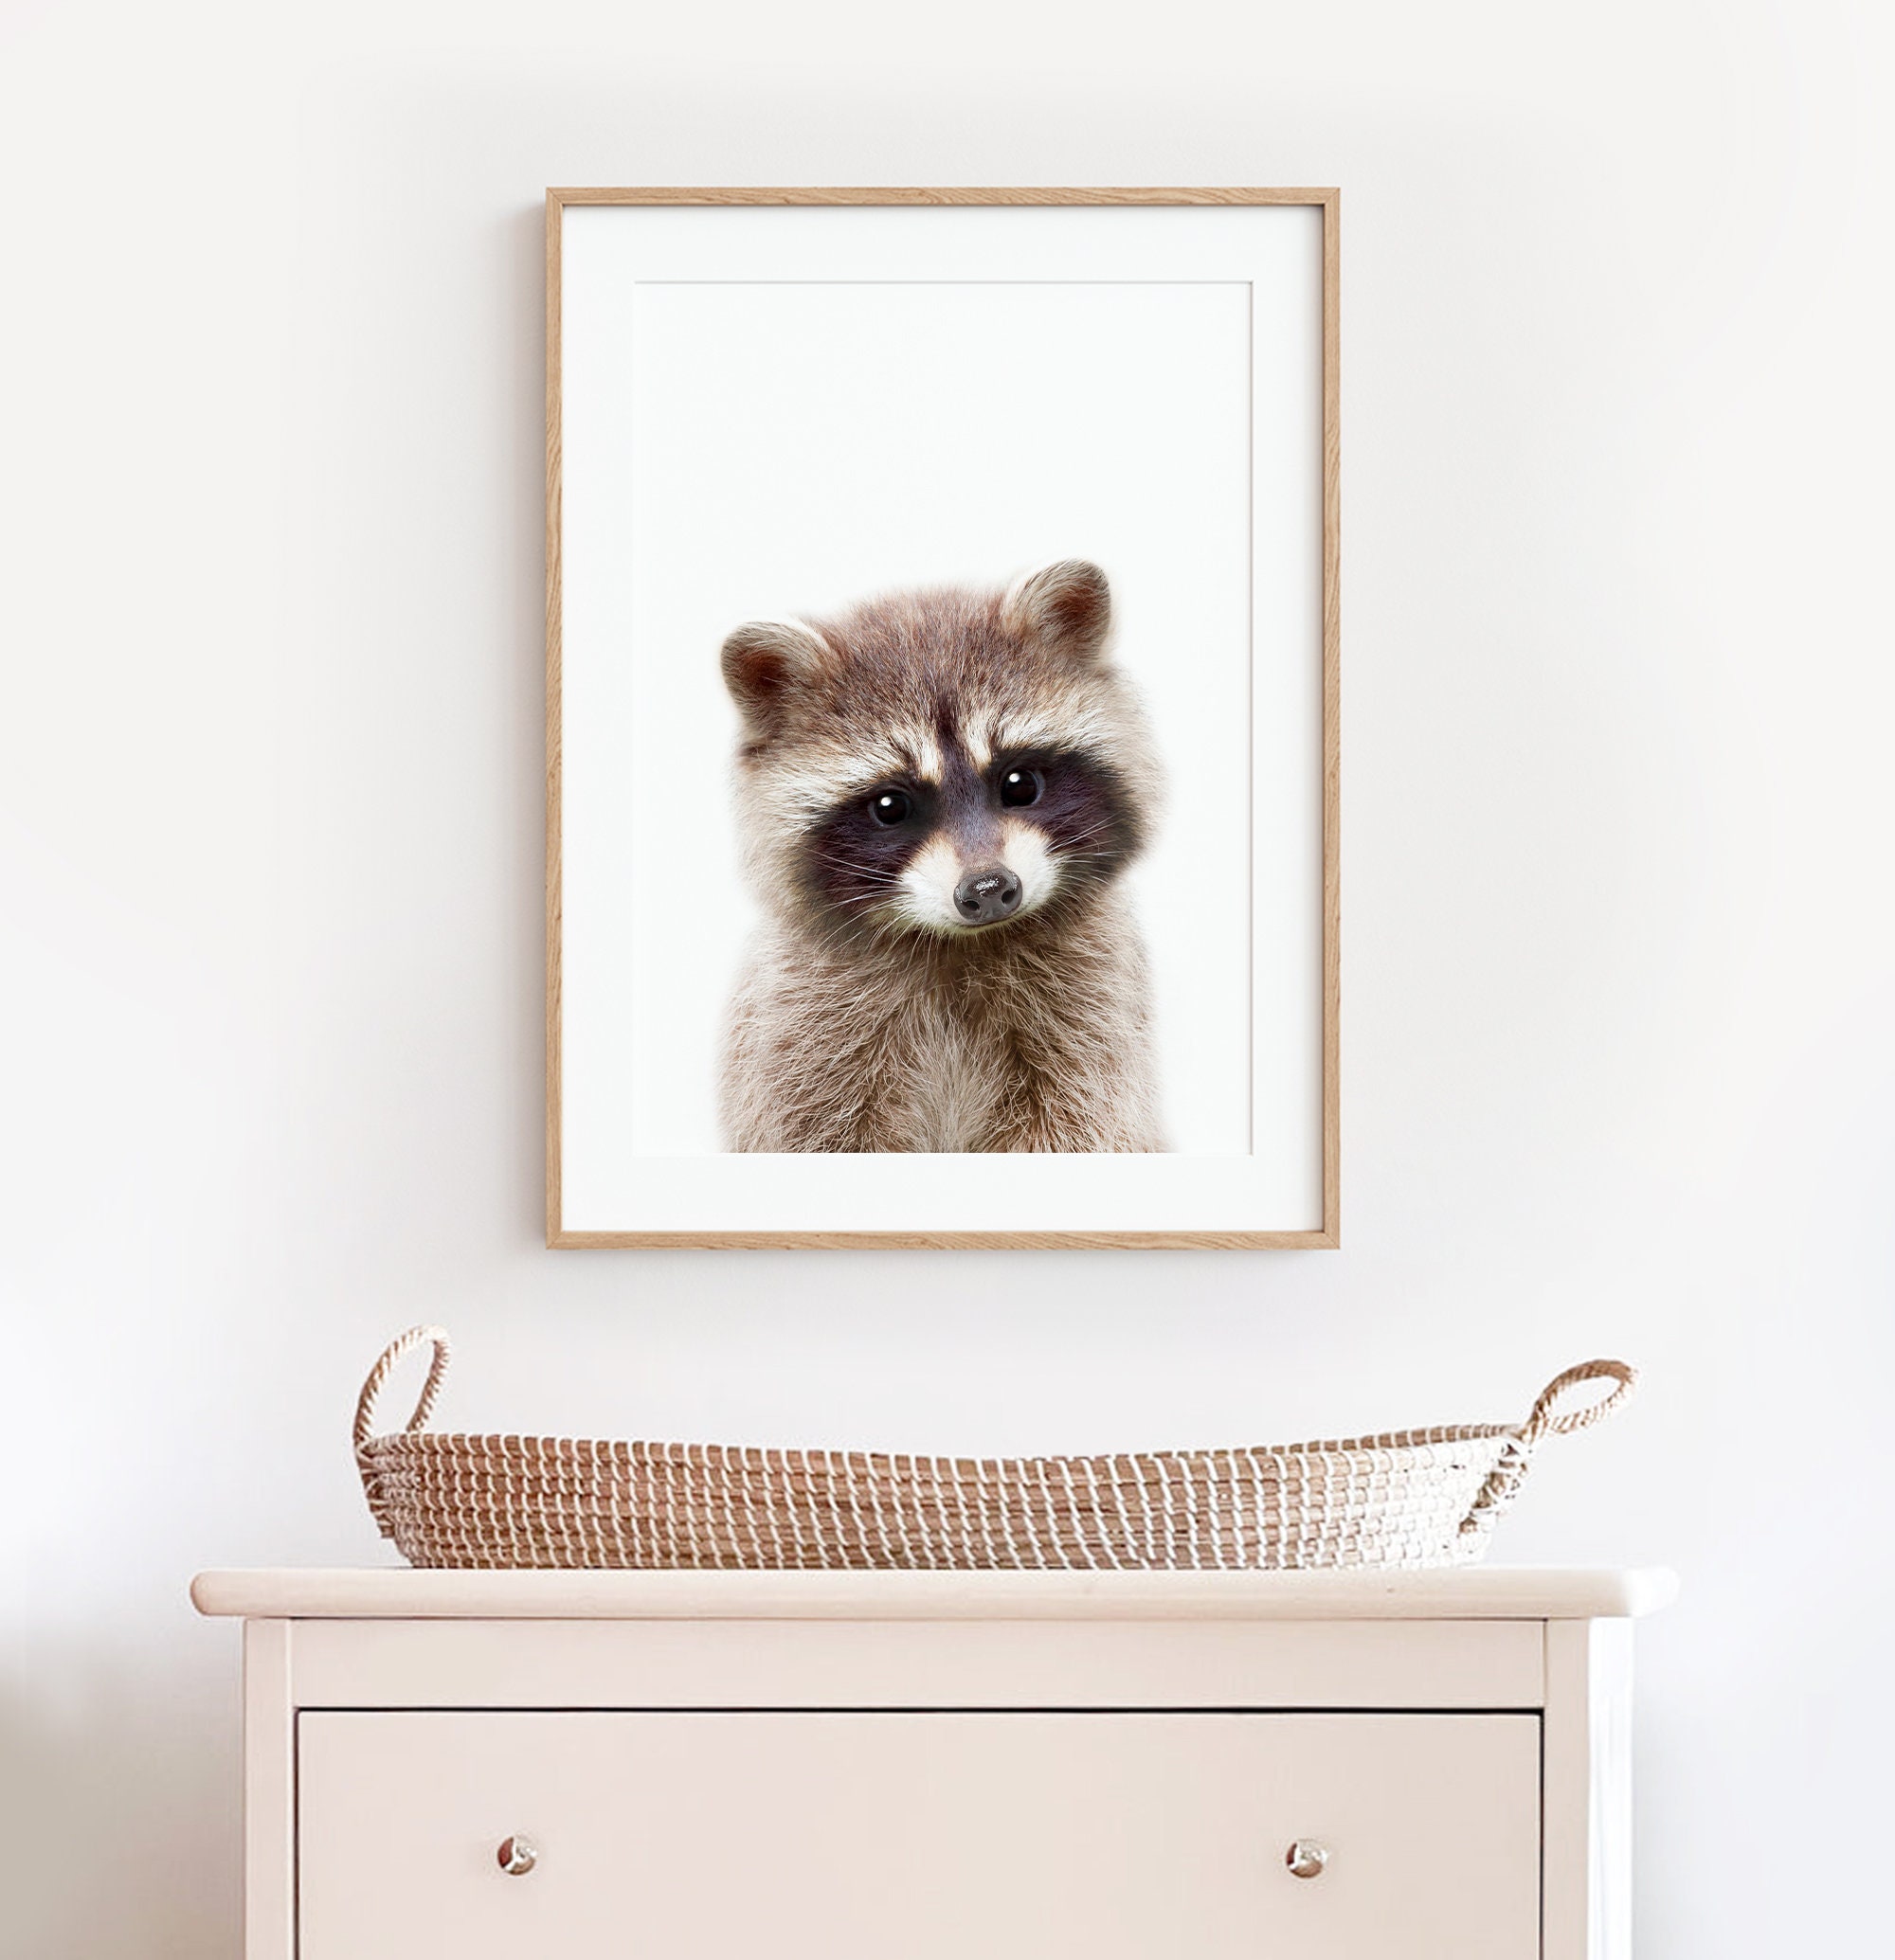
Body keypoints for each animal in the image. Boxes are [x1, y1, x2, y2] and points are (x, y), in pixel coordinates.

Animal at [718, 559, 1163, 1153]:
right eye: (890, 806)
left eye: (1020, 784)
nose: (989, 890)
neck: (958, 945)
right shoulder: (799, 1033)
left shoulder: (1093, 1015)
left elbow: (1082, 1120)